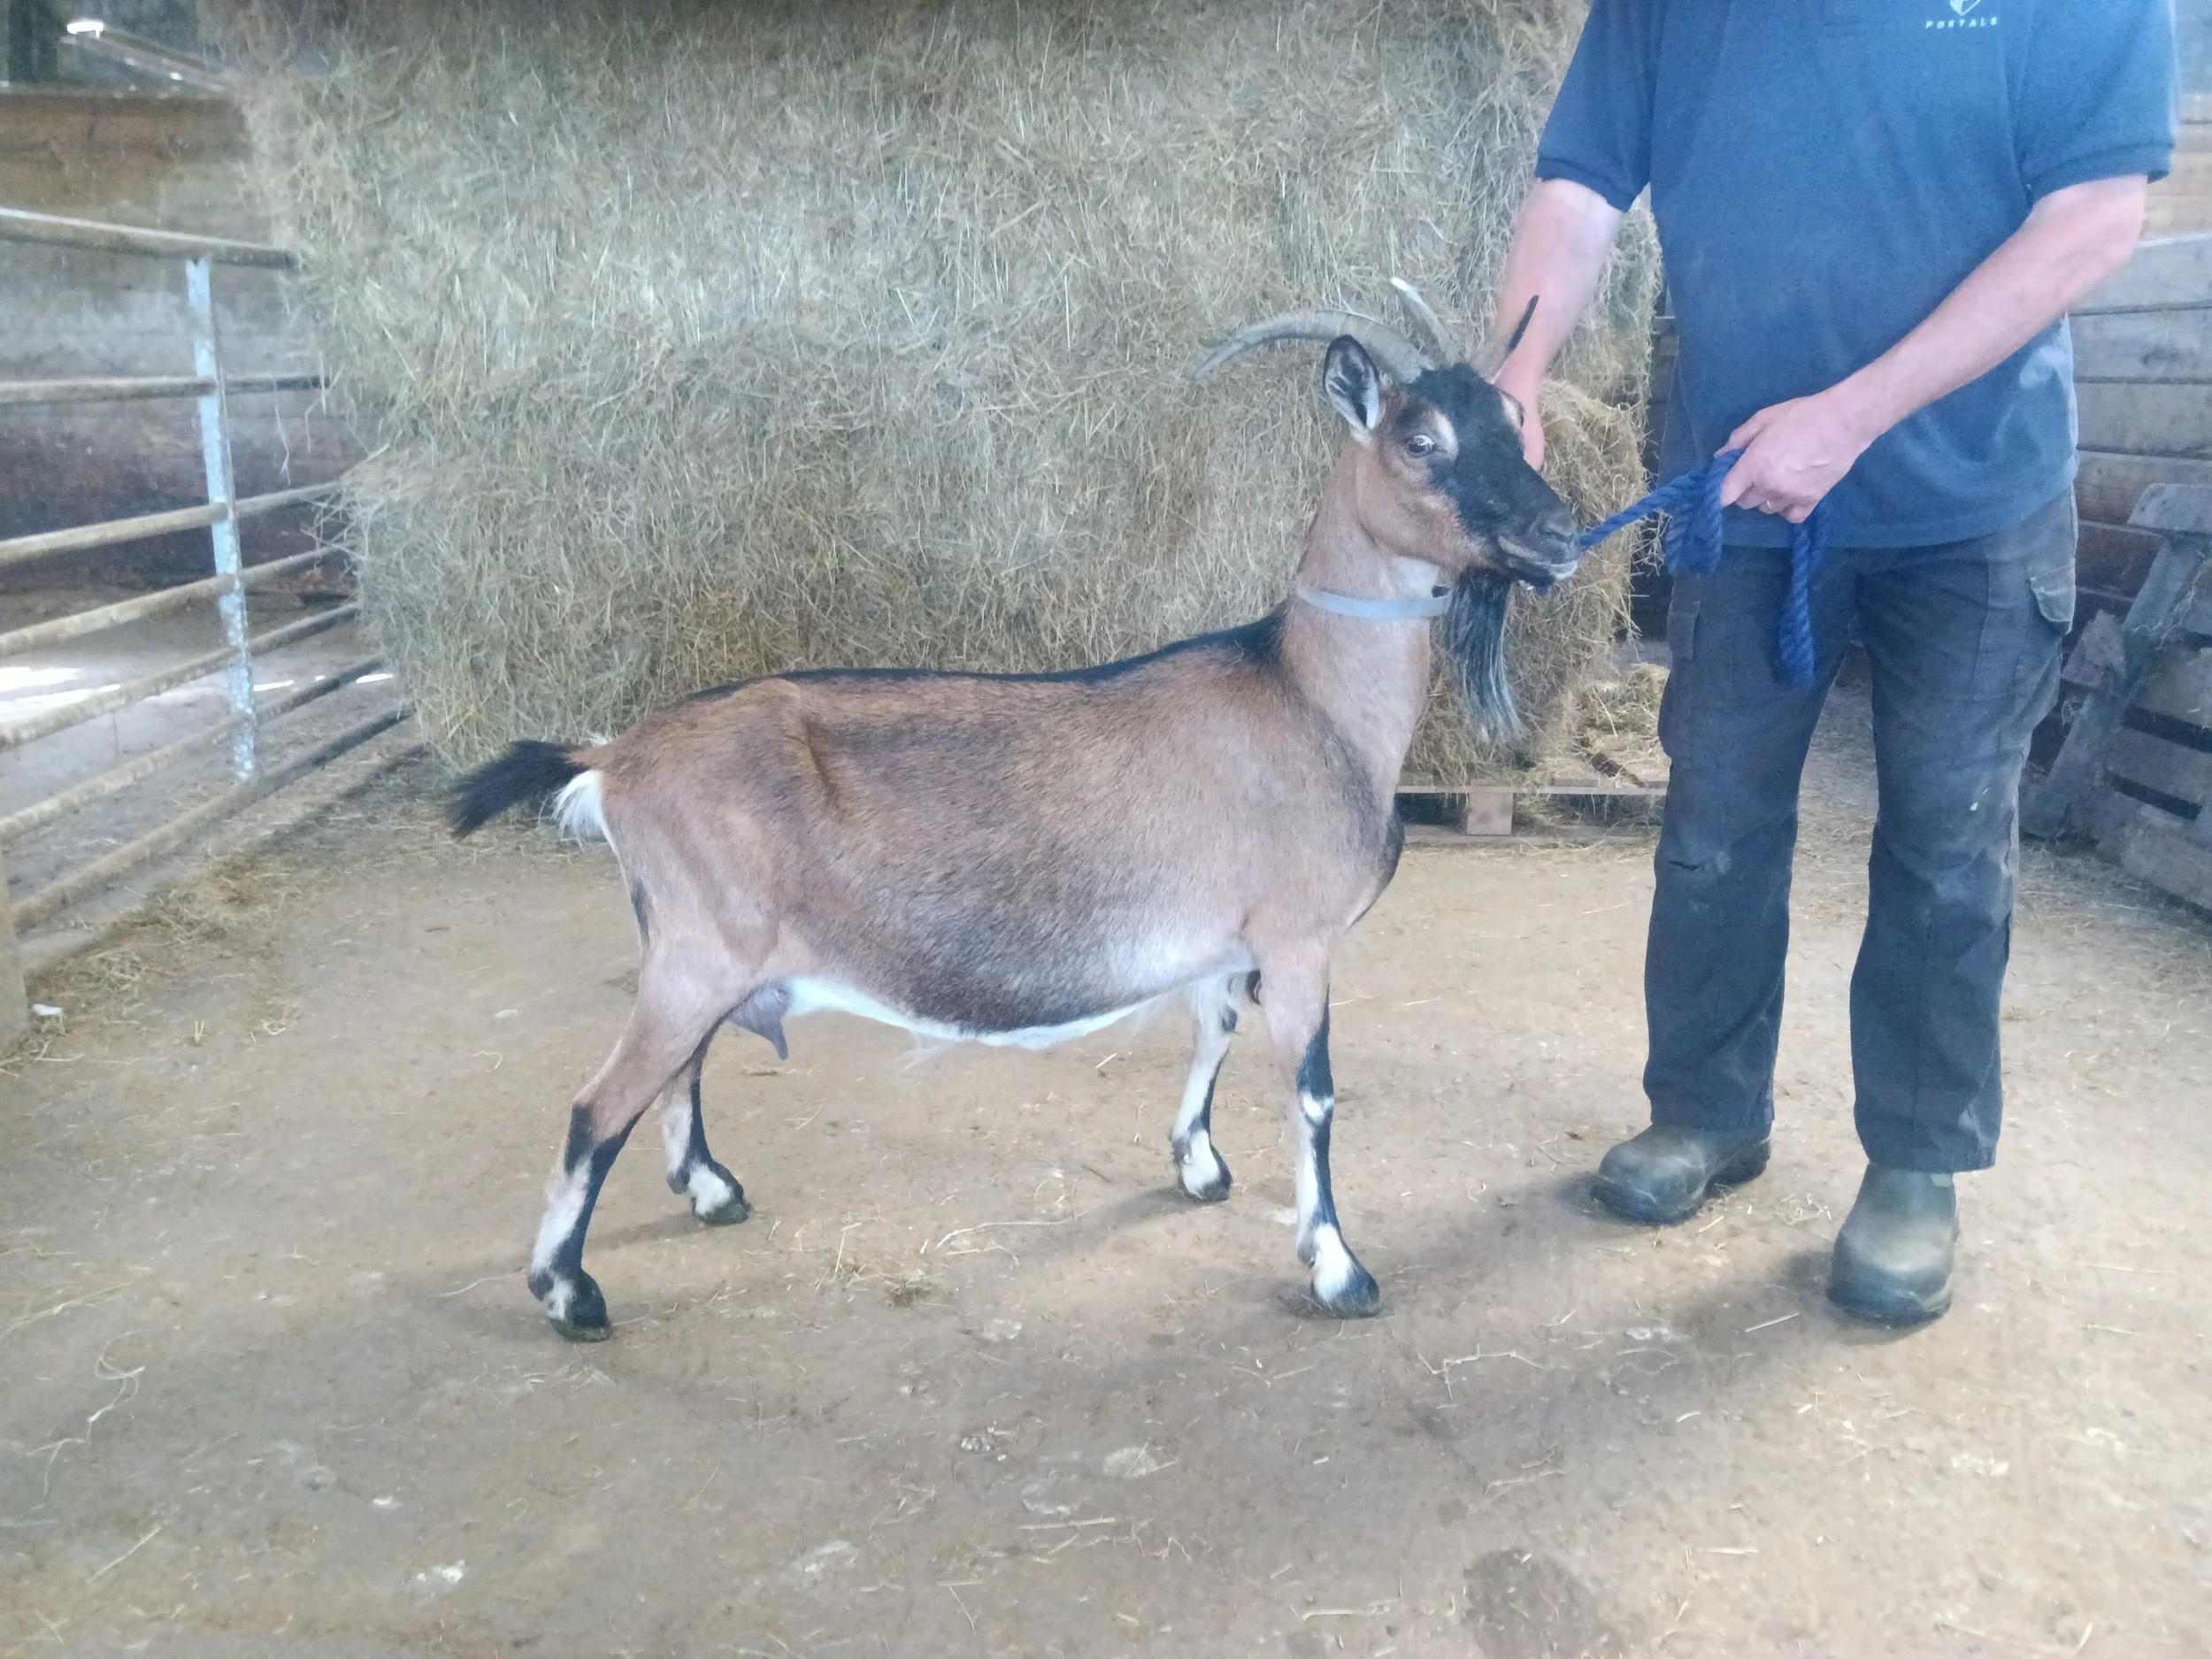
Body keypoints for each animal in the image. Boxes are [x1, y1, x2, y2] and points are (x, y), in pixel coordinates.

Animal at [450, 283, 1580, 1339]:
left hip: (692, 947)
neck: (1307, 697)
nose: (1559, 530)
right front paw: (1340, 1269)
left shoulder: (1227, 938)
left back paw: (711, 1191)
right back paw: (569, 1292)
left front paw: (1198, 1165)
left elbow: (1211, 1027)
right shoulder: (1299, 938)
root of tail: (615, 754)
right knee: (598, 1106)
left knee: (677, 1070)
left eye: (1511, 421)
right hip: (700, 948)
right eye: (1420, 440)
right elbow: (1313, 1095)